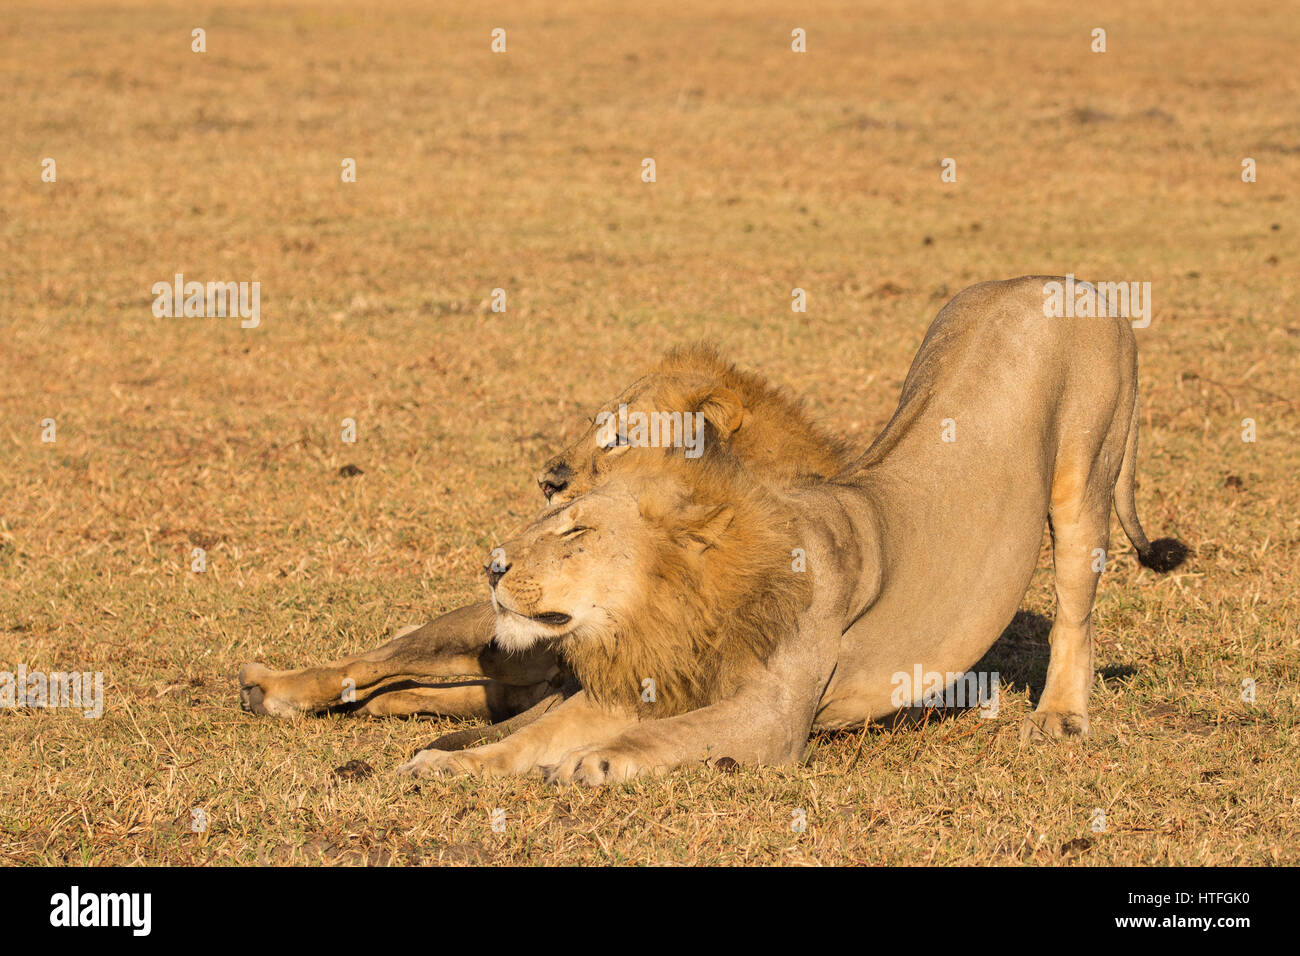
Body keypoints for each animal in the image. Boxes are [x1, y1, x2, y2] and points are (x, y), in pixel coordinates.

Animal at [397, 276, 1186, 783]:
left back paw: (1060, 718)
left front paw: (599, 759)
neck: (684, 588)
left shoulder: (773, 716)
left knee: (1075, 616)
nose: (493, 568)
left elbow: (677, 732)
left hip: (1084, 482)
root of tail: (1073, 283)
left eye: (575, 534)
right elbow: (532, 734)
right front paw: (452, 761)